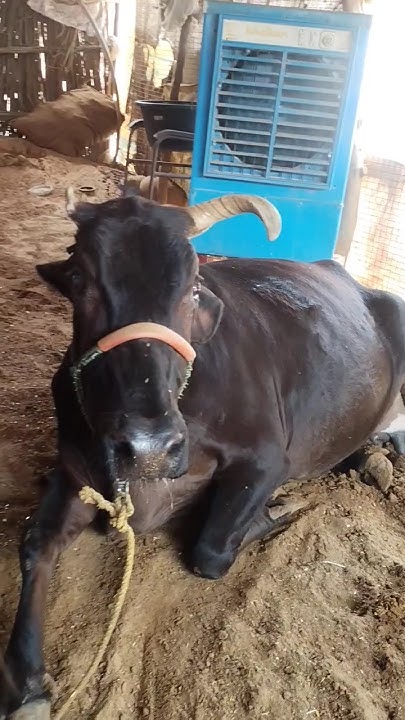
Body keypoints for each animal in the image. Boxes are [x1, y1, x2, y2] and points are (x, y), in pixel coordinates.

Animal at [2, 191, 405, 719]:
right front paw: (27, 678)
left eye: (193, 288)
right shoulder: (76, 471)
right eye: (80, 280)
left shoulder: (267, 458)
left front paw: (277, 507)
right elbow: (35, 542)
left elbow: (211, 550)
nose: (149, 446)